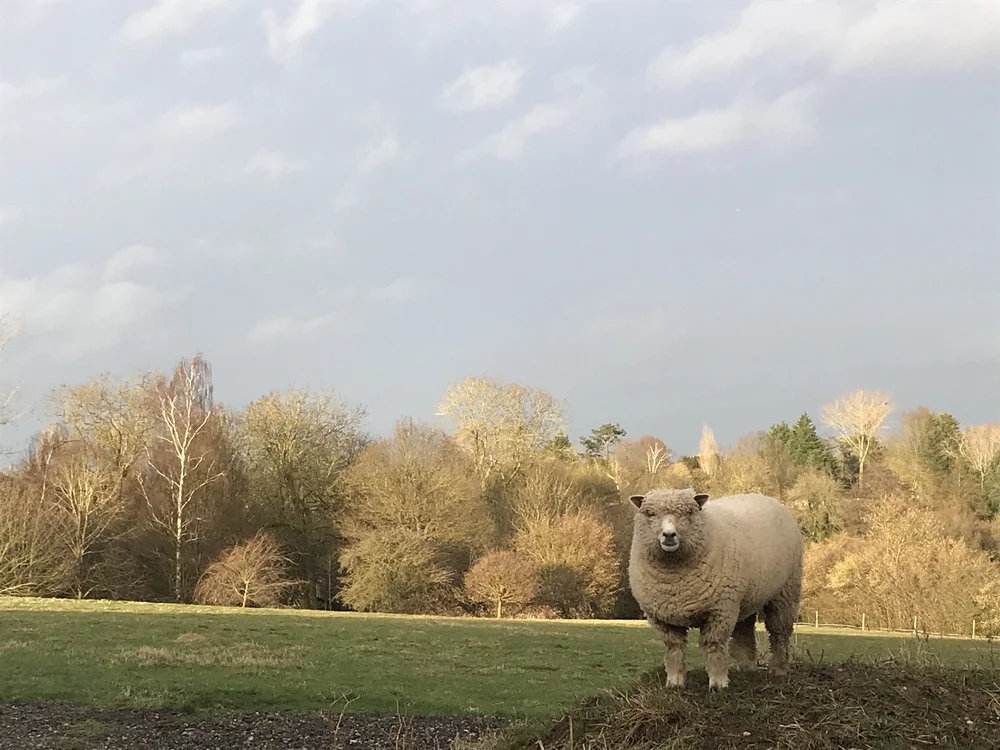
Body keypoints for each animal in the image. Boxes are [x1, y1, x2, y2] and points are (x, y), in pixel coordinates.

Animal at [627, 487, 803, 691]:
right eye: (650, 513)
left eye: (689, 512)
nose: (669, 535)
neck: (675, 580)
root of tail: (765, 496)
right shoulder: (661, 618)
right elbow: (674, 647)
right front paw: (674, 681)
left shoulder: (720, 610)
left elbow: (714, 644)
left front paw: (718, 683)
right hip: (743, 598)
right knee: (745, 629)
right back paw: (746, 666)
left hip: (785, 591)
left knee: (779, 631)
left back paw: (779, 668)